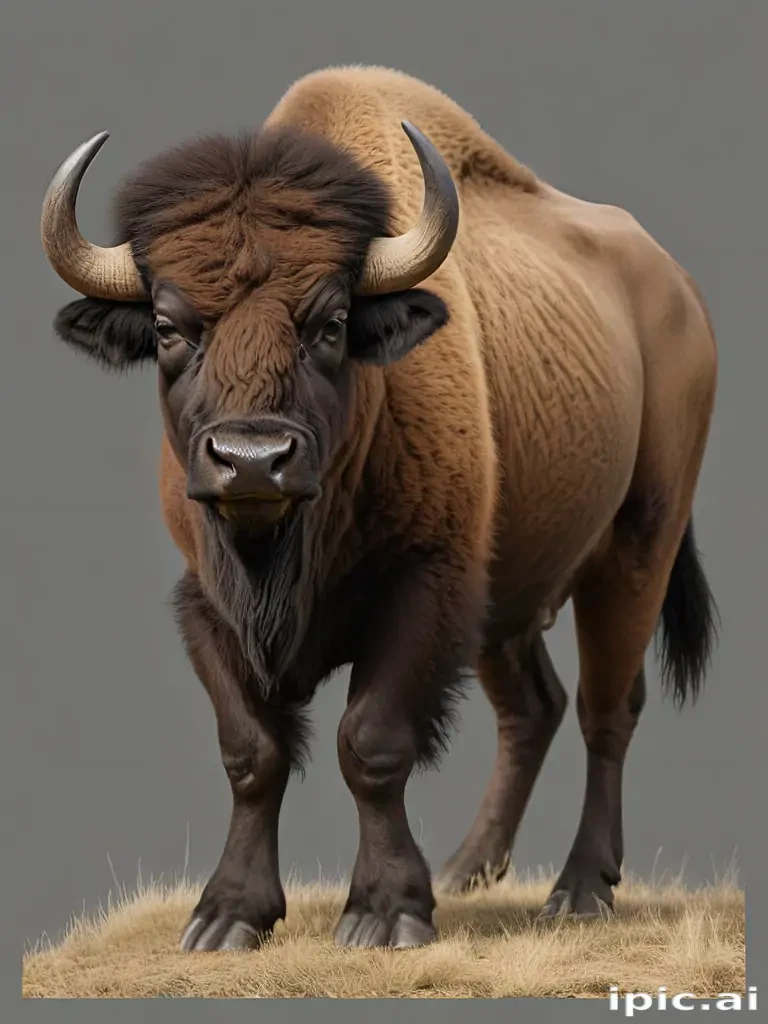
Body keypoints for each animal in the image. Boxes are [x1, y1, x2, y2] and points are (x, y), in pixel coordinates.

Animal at [41, 65, 718, 951]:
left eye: (331, 323)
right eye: (166, 325)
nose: (252, 459)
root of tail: (677, 293)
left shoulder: (423, 590)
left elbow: (370, 742)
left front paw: (386, 913)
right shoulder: (207, 604)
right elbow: (250, 751)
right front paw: (227, 917)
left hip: (638, 545)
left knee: (607, 709)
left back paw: (578, 891)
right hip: (511, 594)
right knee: (534, 708)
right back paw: (470, 870)